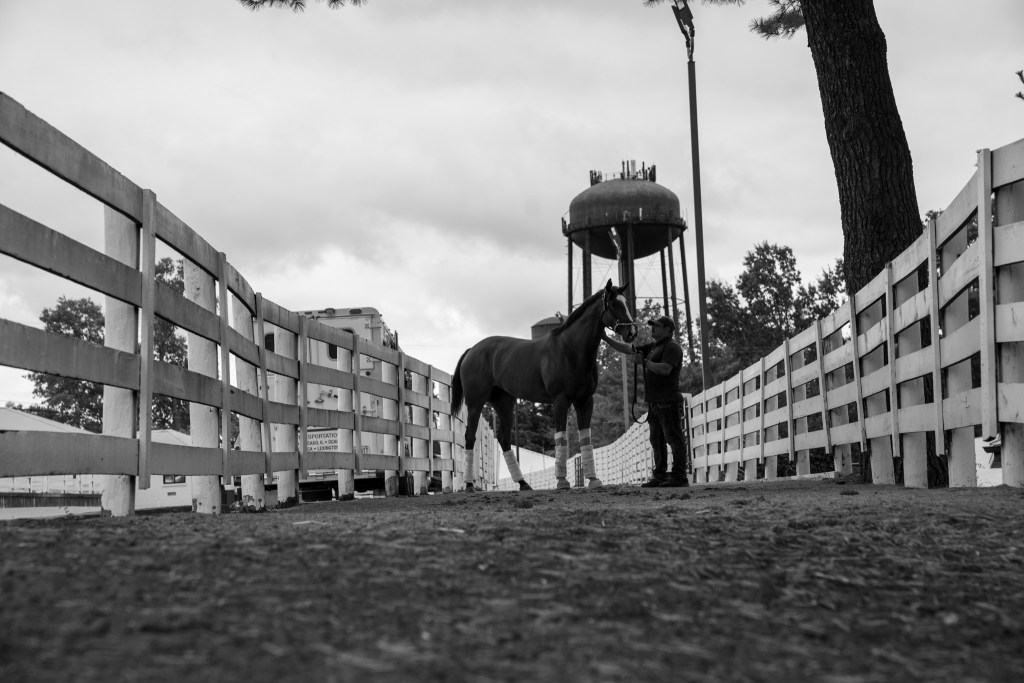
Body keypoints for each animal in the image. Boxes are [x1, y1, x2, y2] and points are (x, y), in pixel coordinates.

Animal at [450, 280, 638, 491]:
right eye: (614, 304)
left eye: (626, 302)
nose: (632, 332)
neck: (570, 350)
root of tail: (472, 350)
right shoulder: (560, 401)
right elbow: (561, 437)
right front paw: (562, 481)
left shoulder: (585, 401)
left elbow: (585, 438)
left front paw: (593, 479)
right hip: (475, 403)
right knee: (470, 437)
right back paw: (469, 484)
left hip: (504, 404)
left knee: (505, 440)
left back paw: (523, 483)